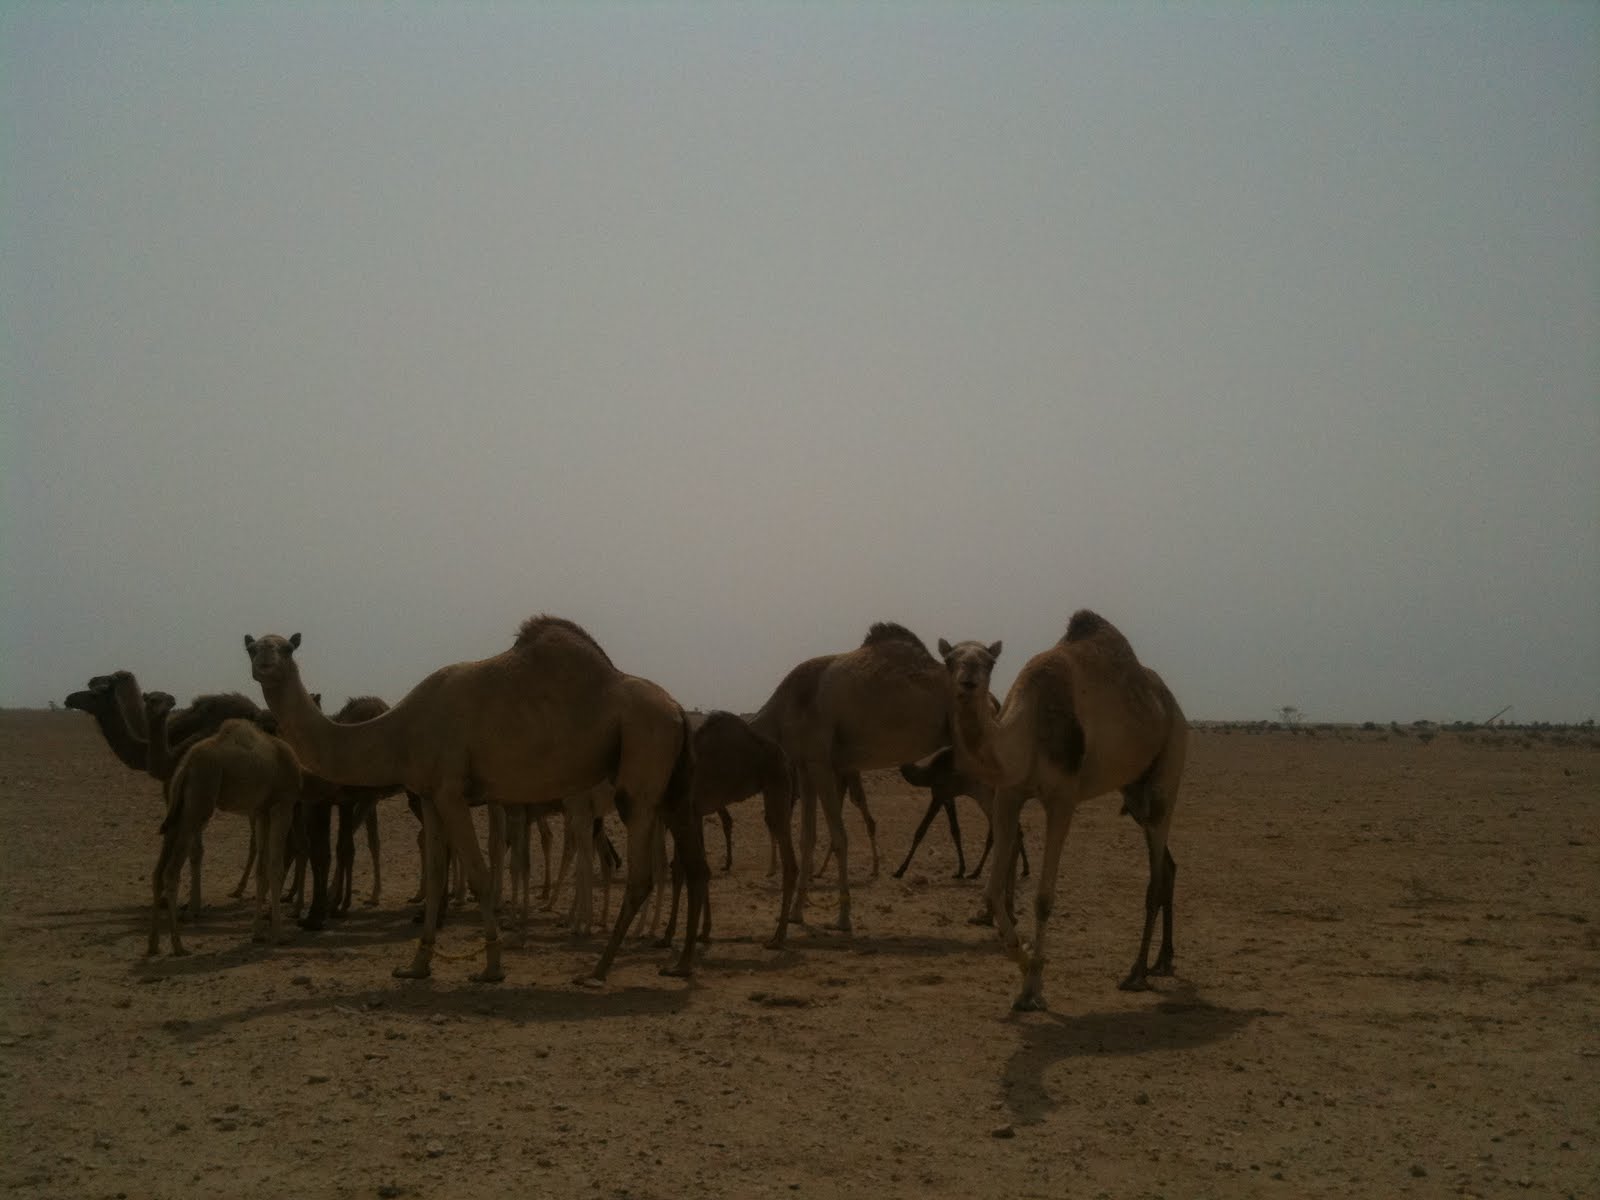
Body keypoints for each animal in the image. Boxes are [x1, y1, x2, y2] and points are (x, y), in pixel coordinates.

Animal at [145, 697, 301, 956]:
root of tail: (185, 766)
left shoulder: (262, 810)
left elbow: (262, 870)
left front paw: (258, 934)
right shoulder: (283, 804)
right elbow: (275, 868)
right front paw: (279, 936)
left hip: (180, 810)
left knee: (158, 870)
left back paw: (154, 944)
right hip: (199, 802)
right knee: (171, 871)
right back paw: (178, 945)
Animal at [245, 616, 706, 984]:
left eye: (286, 647)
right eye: (251, 646)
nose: (264, 664)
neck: (400, 729)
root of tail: (678, 709)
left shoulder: (451, 790)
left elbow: (481, 873)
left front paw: (491, 967)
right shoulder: (429, 795)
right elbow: (434, 878)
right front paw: (417, 965)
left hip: (641, 767)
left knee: (642, 874)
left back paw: (598, 969)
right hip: (673, 786)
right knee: (694, 865)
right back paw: (679, 963)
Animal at [752, 622, 952, 932]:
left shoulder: (820, 763)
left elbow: (839, 837)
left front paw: (843, 918)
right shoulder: (805, 767)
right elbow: (807, 838)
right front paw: (797, 913)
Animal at [937, 610, 1187, 1011]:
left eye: (989, 661)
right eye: (950, 659)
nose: (968, 682)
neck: (1028, 728)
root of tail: (1172, 707)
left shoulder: (1062, 799)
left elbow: (1043, 898)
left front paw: (1034, 988)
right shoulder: (1009, 795)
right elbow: (991, 892)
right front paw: (1025, 967)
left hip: (1169, 768)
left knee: (1156, 874)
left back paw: (1137, 974)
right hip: (1136, 793)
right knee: (1168, 864)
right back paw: (1163, 962)